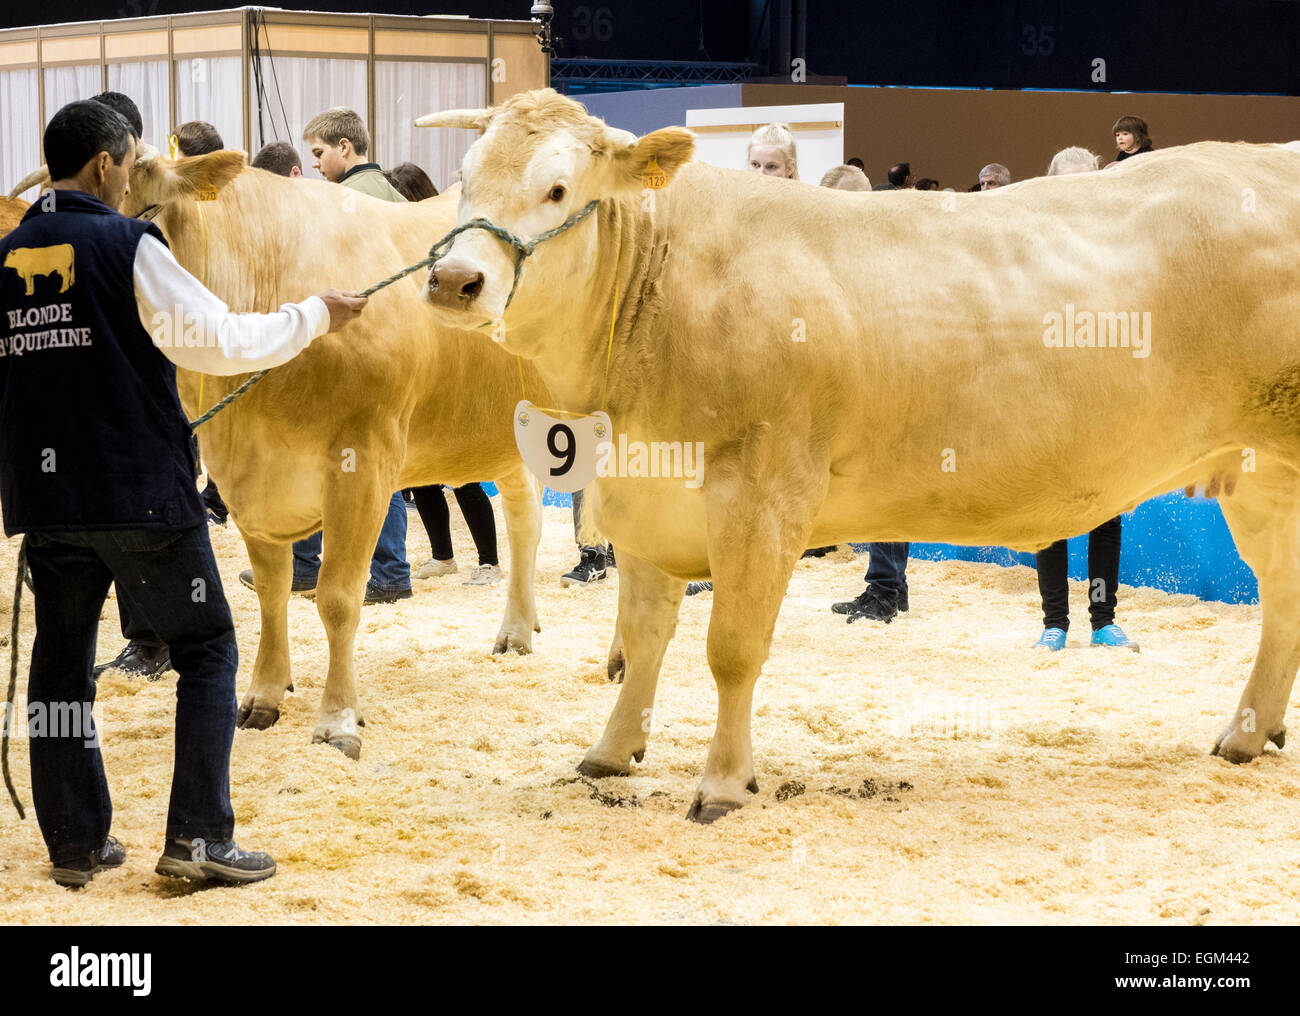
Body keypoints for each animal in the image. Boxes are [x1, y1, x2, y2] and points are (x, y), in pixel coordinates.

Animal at [110, 147, 553, 758]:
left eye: (144, 216)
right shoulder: (247, 479)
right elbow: (271, 591)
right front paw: (264, 695)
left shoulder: (364, 465)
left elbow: (338, 598)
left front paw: (337, 719)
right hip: (507, 436)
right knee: (524, 518)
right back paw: (517, 631)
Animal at [417, 89, 1300, 822]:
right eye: (464, 180)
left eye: (558, 190)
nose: (453, 280)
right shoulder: (646, 499)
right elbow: (642, 638)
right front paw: (610, 749)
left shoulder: (761, 494)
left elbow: (730, 650)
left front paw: (723, 782)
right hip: (1258, 479)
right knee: (1284, 597)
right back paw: (1248, 734)